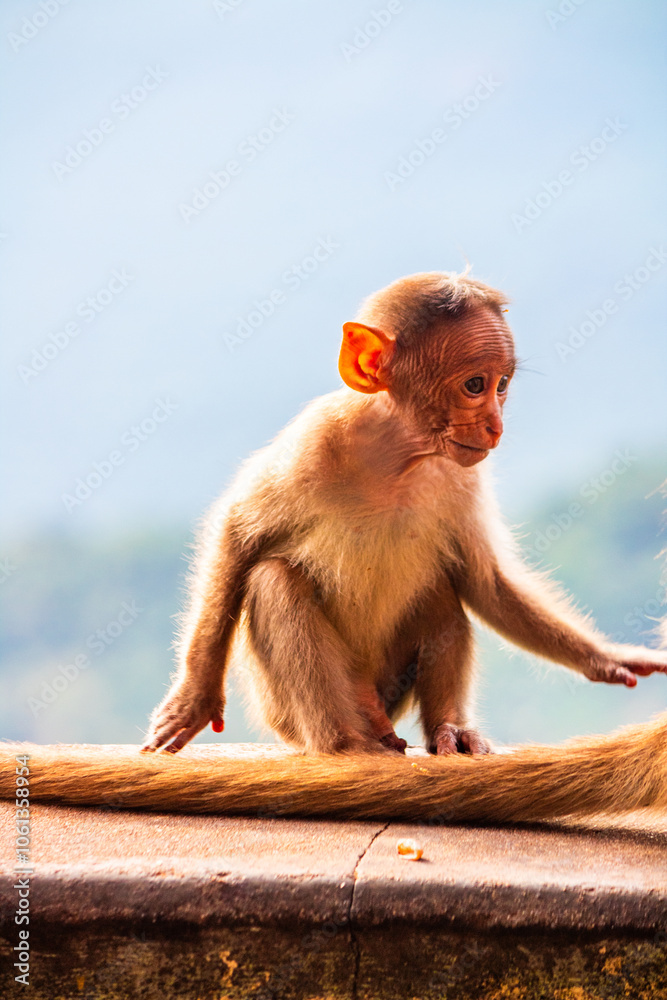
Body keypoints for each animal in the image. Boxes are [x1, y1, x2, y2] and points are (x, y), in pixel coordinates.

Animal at [1, 270, 665, 826]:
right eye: (477, 385)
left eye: (503, 386)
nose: (496, 426)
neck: (399, 455)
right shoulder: (313, 441)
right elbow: (239, 536)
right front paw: (193, 699)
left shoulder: (462, 477)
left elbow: (485, 581)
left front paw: (611, 659)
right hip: (293, 711)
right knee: (274, 579)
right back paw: (350, 746)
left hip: (391, 688)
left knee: (442, 591)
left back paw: (448, 732)